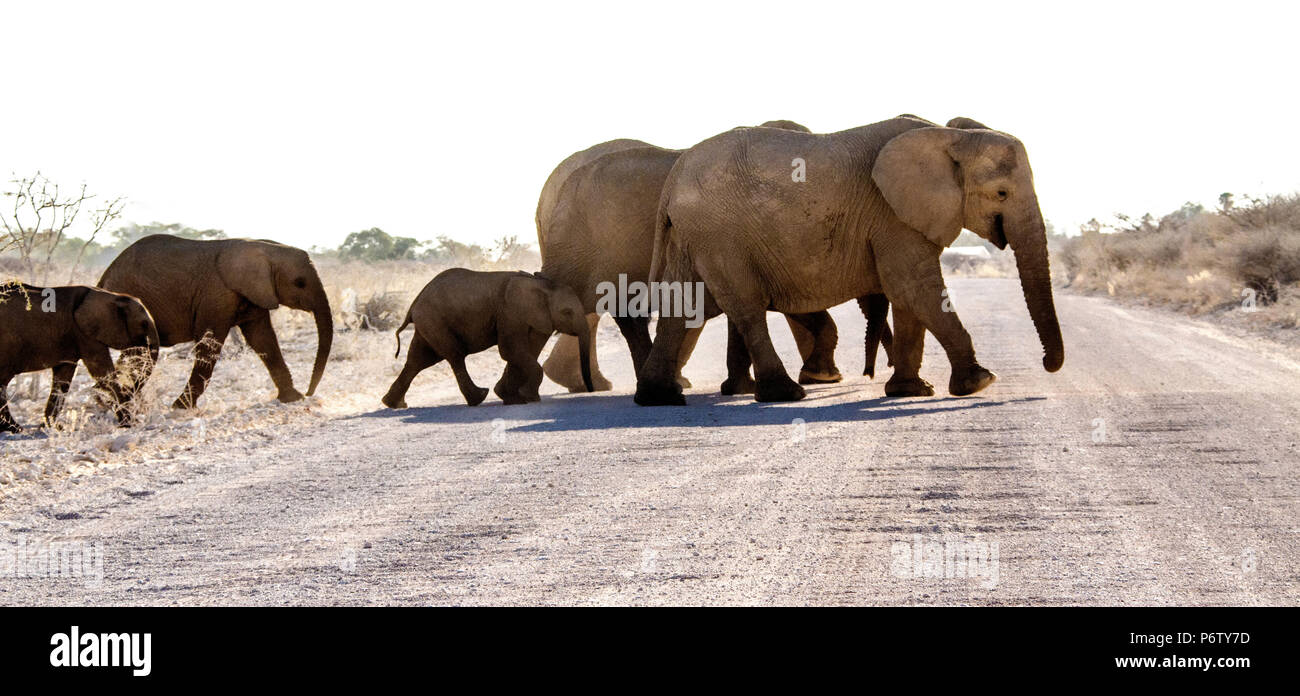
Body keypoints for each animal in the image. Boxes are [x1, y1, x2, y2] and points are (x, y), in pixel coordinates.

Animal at [0, 283, 159, 432]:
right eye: (144, 324)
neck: (112, 296)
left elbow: (63, 379)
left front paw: (52, 428)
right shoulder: (84, 334)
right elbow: (103, 374)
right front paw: (129, 424)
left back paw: (13, 429)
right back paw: (15, 429)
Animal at [99, 235, 333, 409]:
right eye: (300, 283)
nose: (310, 393)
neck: (263, 246)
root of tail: (104, 278)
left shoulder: (252, 294)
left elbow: (263, 339)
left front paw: (293, 398)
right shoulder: (216, 295)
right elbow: (210, 344)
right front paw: (181, 407)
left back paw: (111, 402)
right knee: (141, 354)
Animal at [382, 268, 593, 407]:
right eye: (567, 312)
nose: (590, 390)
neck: (540, 284)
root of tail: (414, 304)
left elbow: (519, 351)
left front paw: (512, 398)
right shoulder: (509, 311)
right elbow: (509, 350)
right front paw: (528, 399)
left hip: (428, 324)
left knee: (418, 361)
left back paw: (394, 404)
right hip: (434, 321)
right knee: (454, 356)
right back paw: (479, 397)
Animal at [635, 114, 1063, 405]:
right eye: (1002, 193)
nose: (1048, 366)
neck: (949, 135)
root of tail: (674, 177)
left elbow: (908, 296)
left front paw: (910, 391)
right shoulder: (891, 214)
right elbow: (915, 287)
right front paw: (980, 383)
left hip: (693, 235)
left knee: (682, 306)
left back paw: (659, 398)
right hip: (721, 235)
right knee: (746, 307)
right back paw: (785, 394)